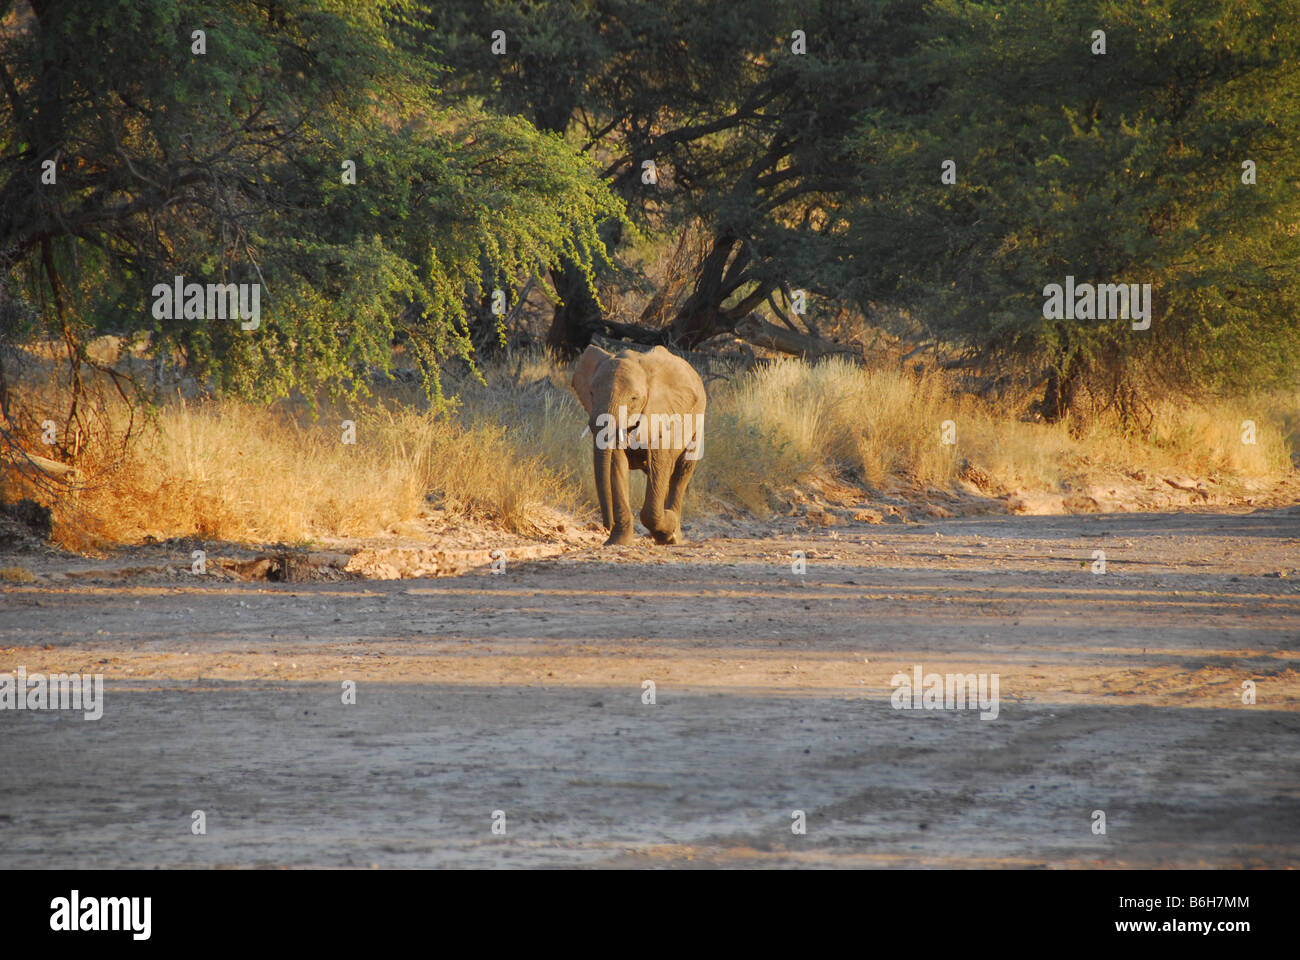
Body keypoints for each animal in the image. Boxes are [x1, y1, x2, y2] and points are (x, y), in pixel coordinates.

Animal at [570, 344, 706, 546]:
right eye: (591, 393)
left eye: (634, 398)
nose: (607, 525)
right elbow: (617, 465)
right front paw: (618, 542)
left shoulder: (661, 413)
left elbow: (660, 463)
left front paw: (669, 528)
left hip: (697, 422)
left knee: (681, 473)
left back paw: (674, 535)